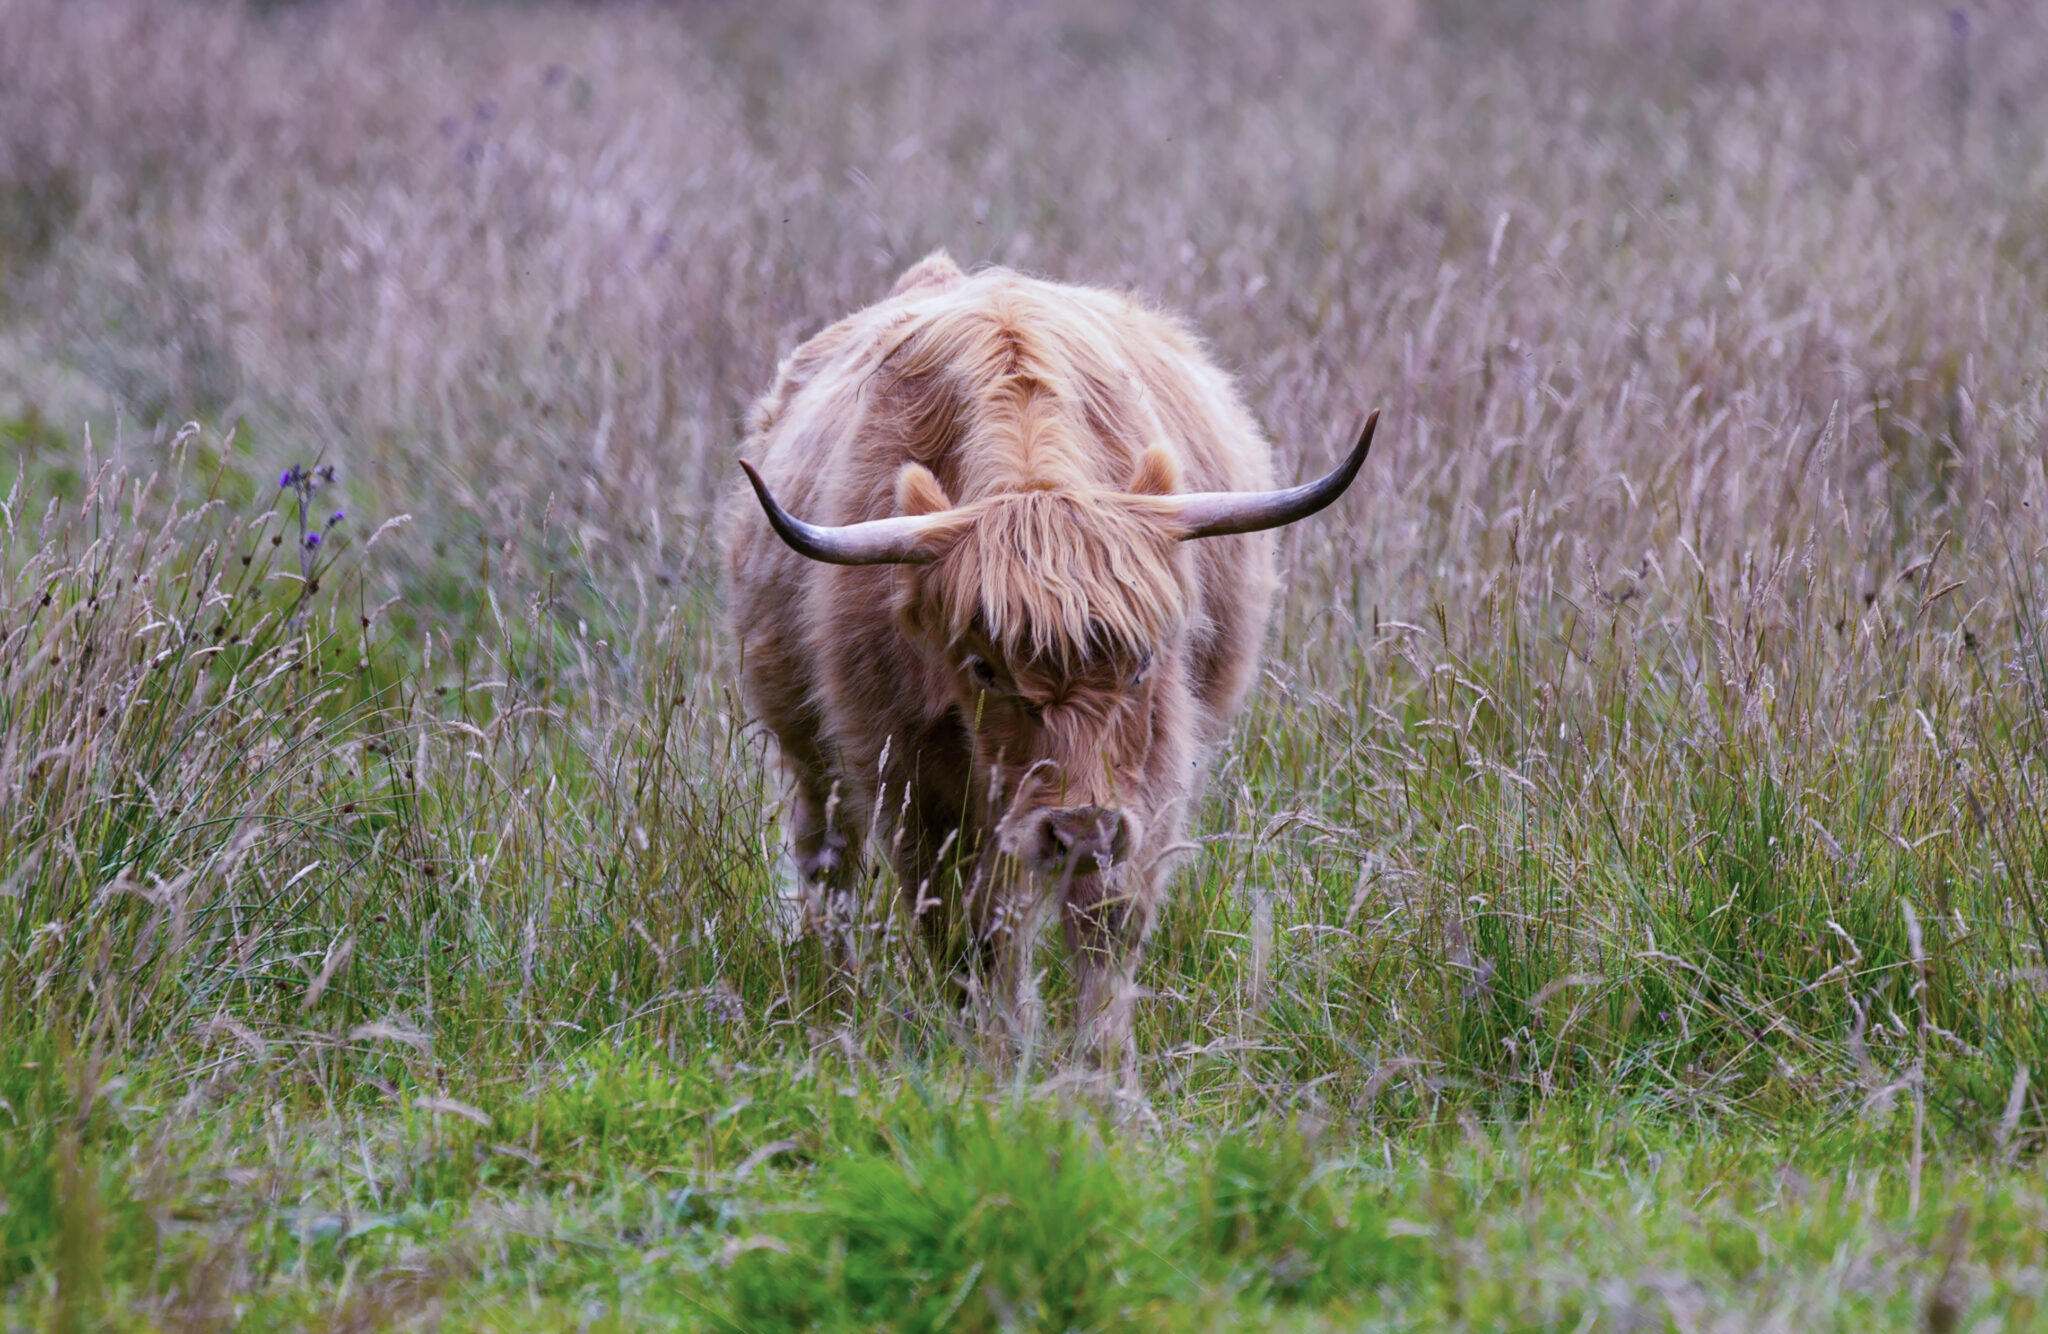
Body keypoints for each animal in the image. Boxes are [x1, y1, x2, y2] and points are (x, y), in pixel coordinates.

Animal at [723, 250, 1374, 1073]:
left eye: (1140, 664)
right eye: (982, 668)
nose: (1080, 831)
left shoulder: (1150, 773)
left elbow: (1107, 925)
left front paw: (1105, 1069)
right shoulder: (907, 773)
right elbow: (968, 930)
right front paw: (998, 1057)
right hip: (807, 745)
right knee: (828, 860)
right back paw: (835, 988)